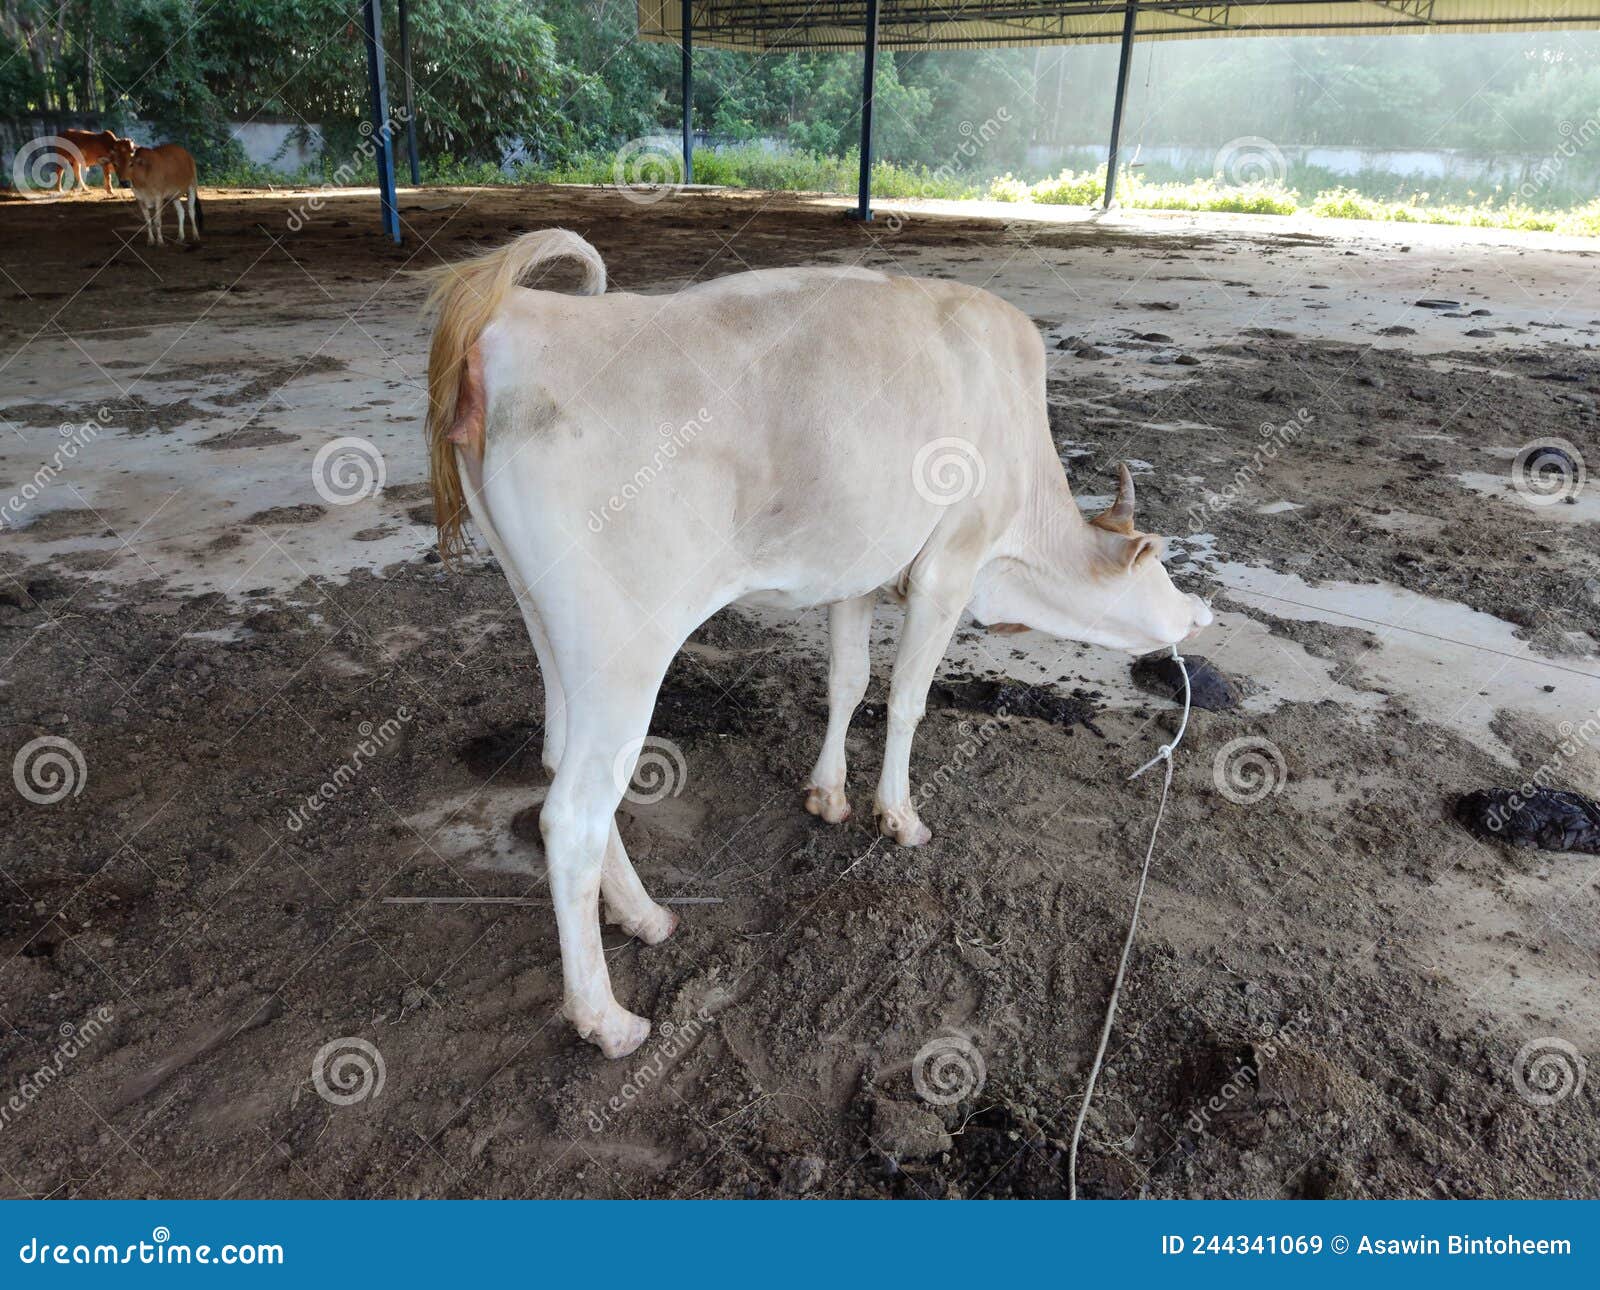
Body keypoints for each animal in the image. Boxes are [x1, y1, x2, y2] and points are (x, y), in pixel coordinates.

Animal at [422, 229, 1212, 1058]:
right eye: (1158, 561)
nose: (1199, 610)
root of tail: (520, 317)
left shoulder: (856, 569)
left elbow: (849, 681)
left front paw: (828, 795)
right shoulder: (949, 567)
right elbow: (905, 698)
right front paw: (898, 816)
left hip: (546, 615)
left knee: (557, 760)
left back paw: (644, 916)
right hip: (626, 641)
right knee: (573, 813)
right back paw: (607, 1018)